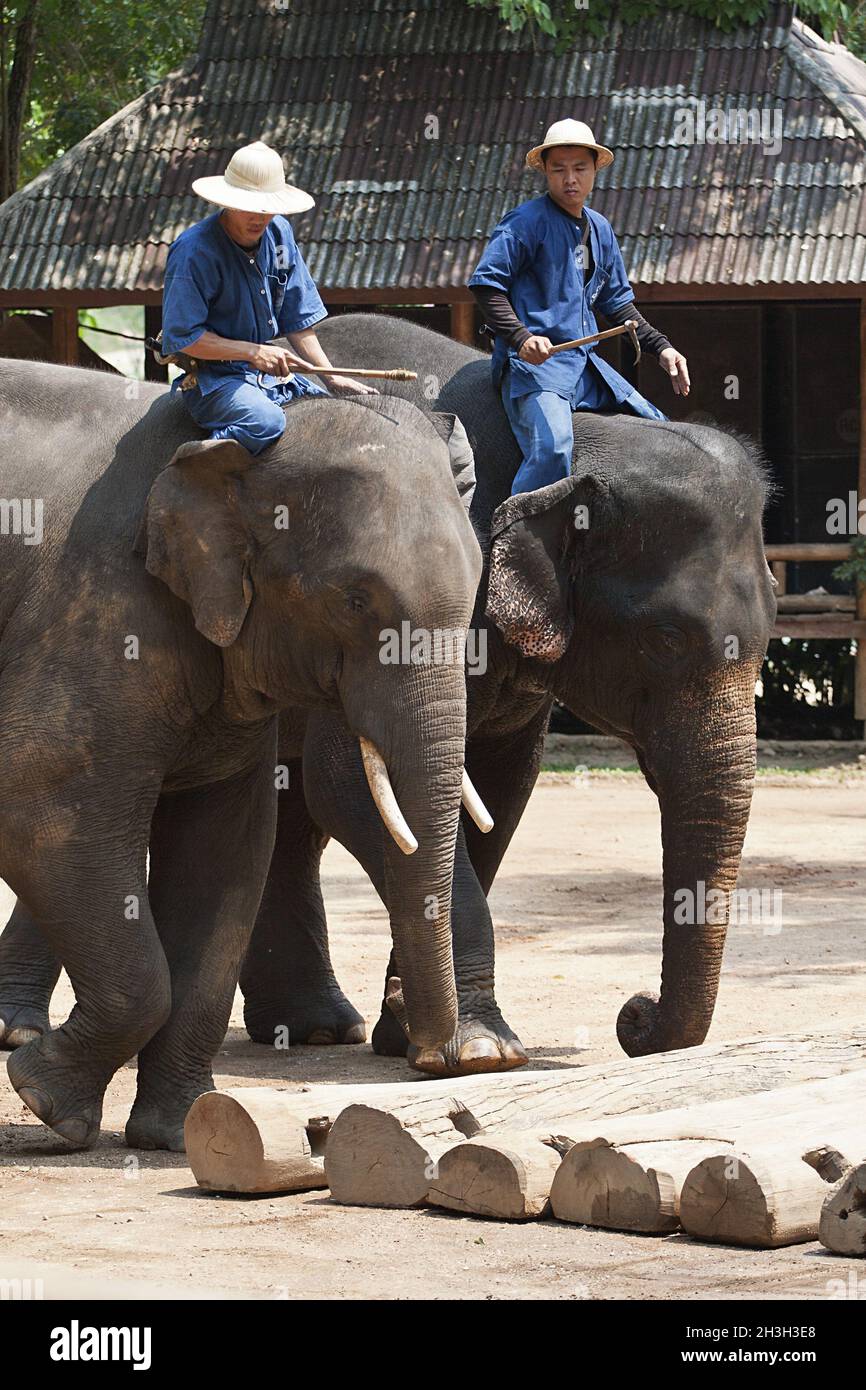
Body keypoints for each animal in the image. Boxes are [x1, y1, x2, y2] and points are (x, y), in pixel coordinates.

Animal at [0, 358, 482, 1147]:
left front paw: (178, 1134)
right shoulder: (96, 608)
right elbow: (39, 813)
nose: (439, 1059)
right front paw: (47, 1099)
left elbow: (225, 852)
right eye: (354, 600)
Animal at [234, 312, 778, 1074]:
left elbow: (501, 791)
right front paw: (479, 1048)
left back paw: (311, 1029)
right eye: (666, 639)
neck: (577, 441)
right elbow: (349, 786)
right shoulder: (385, 611)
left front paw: (411, 1029)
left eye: (772, 628)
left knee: (286, 814)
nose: (634, 1017)